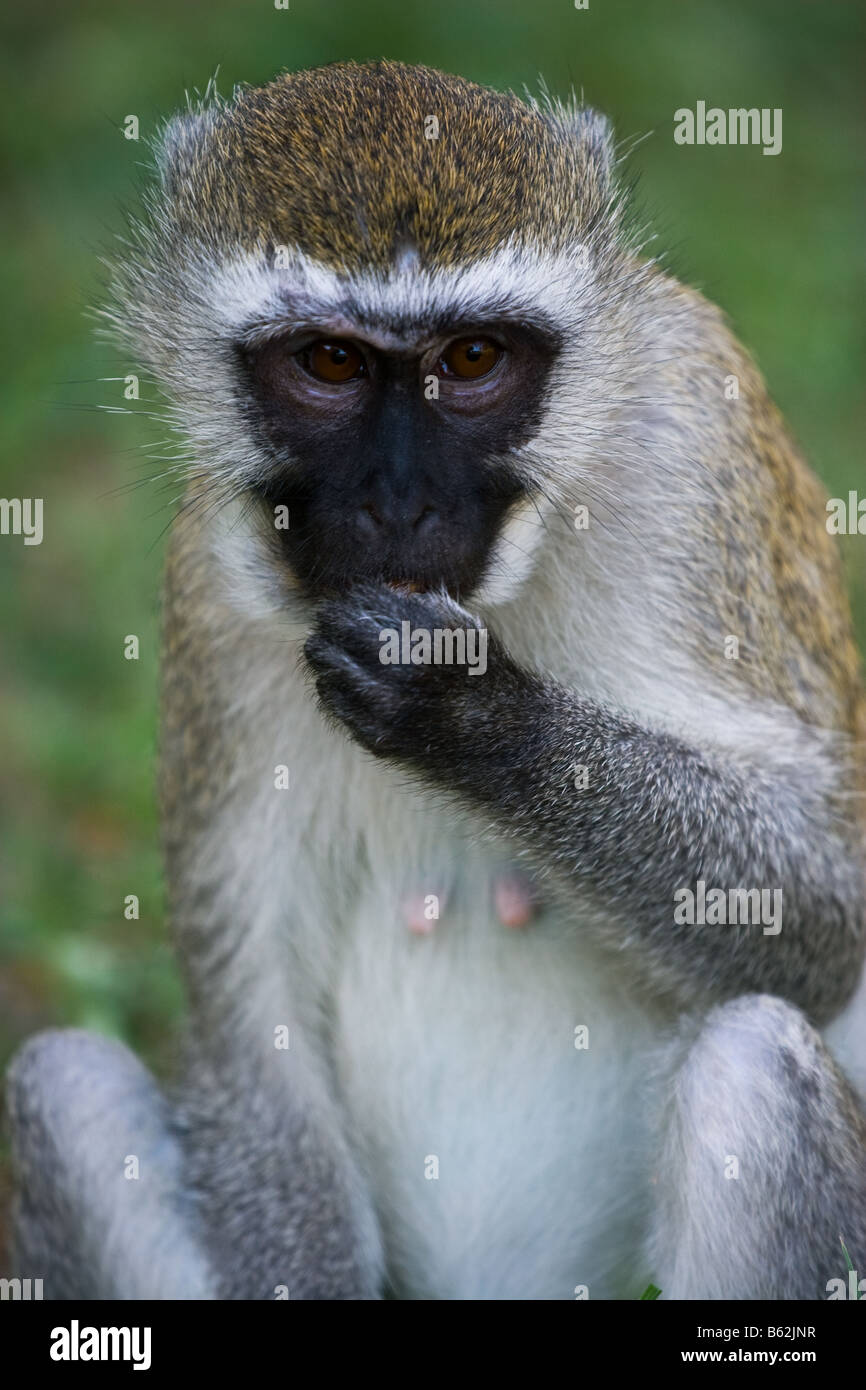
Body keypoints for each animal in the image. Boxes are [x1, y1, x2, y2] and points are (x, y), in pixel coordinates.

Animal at [6, 59, 866, 1301]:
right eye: (328, 361)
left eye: (469, 360)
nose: (400, 502)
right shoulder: (209, 579)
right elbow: (253, 1039)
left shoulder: (695, 442)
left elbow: (814, 915)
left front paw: (467, 713)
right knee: (61, 1081)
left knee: (752, 1059)